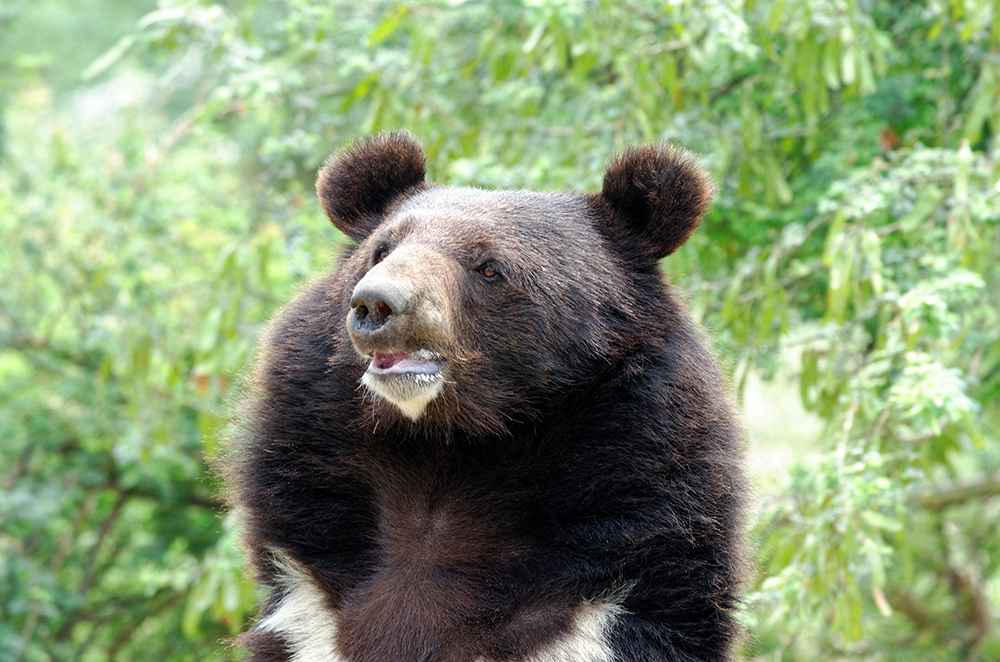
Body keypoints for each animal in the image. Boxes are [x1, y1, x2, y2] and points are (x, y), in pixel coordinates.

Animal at [226, 131, 747, 662]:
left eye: (490, 268)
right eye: (381, 250)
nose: (375, 303)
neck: (449, 449)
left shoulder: (600, 606)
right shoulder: (310, 614)